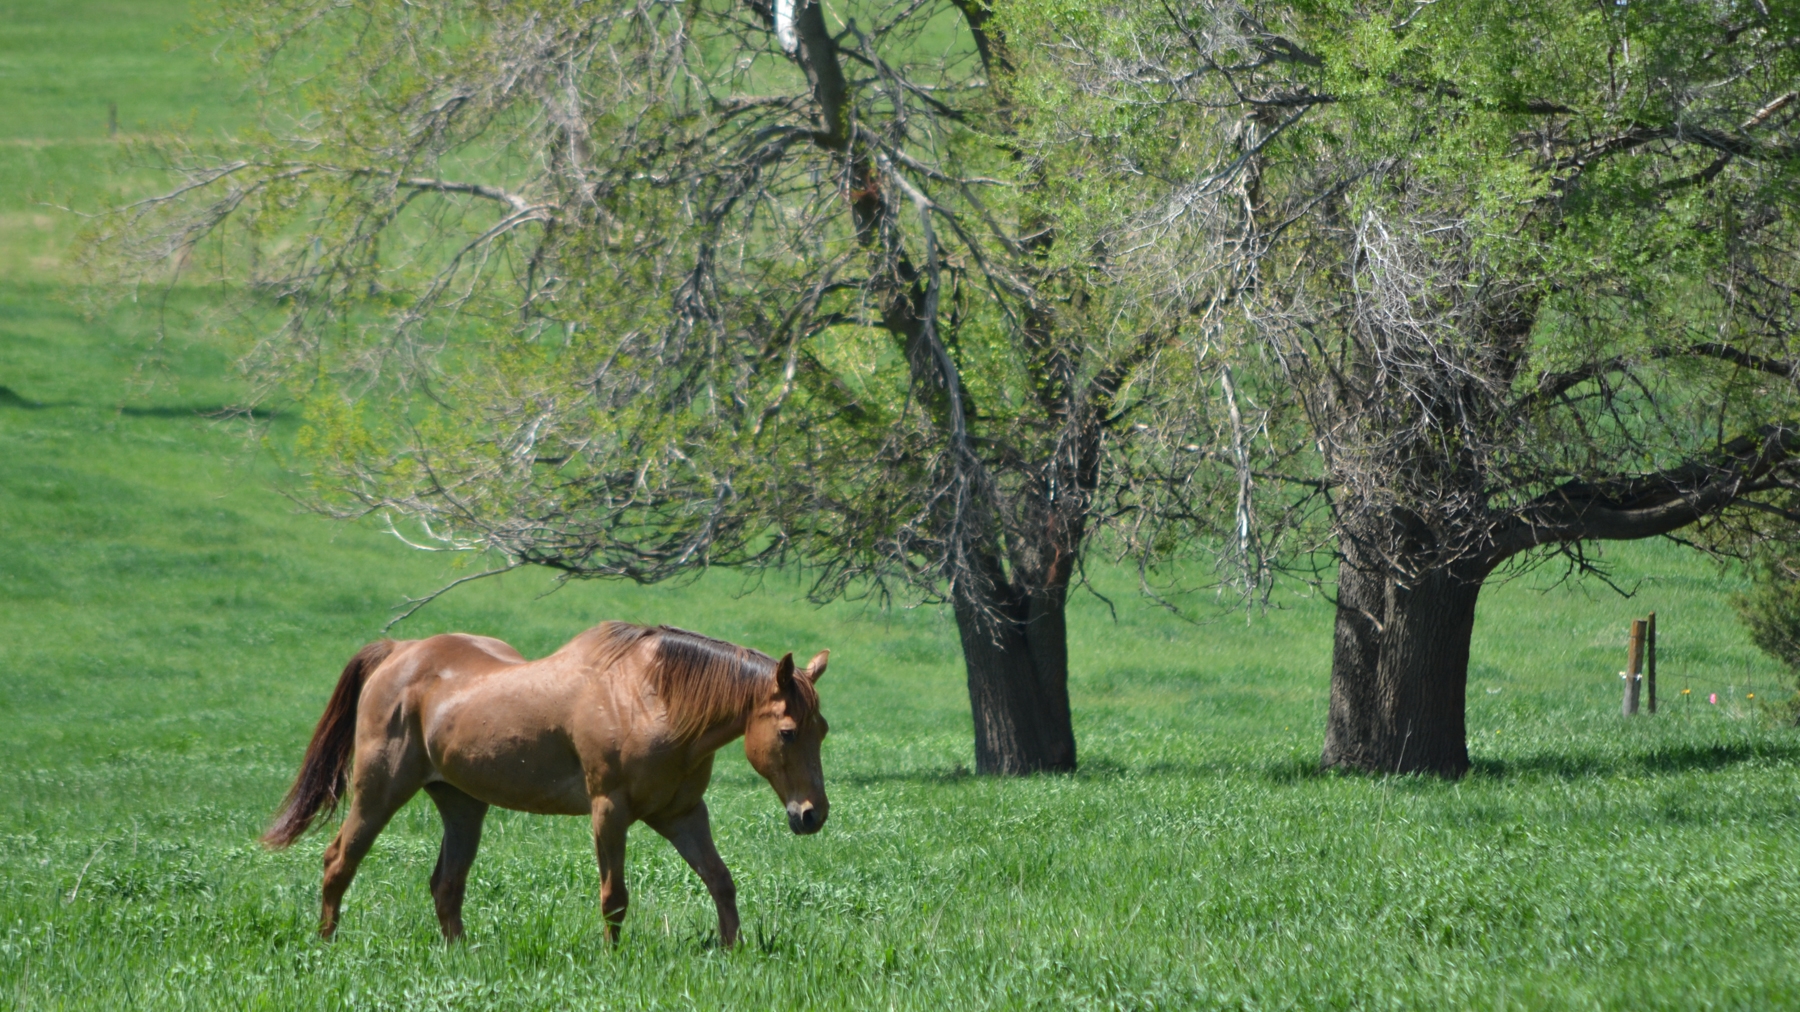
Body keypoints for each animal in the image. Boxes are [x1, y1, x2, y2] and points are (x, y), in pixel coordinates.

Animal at [259, 621, 830, 947]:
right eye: (788, 731)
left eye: (822, 730)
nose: (812, 815)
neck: (651, 700)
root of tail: (400, 652)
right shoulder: (609, 810)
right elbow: (614, 896)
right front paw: (612, 960)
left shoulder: (681, 814)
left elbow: (720, 881)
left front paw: (733, 952)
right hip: (379, 792)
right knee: (339, 862)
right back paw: (327, 945)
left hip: (463, 805)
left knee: (446, 885)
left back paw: (459, 954)